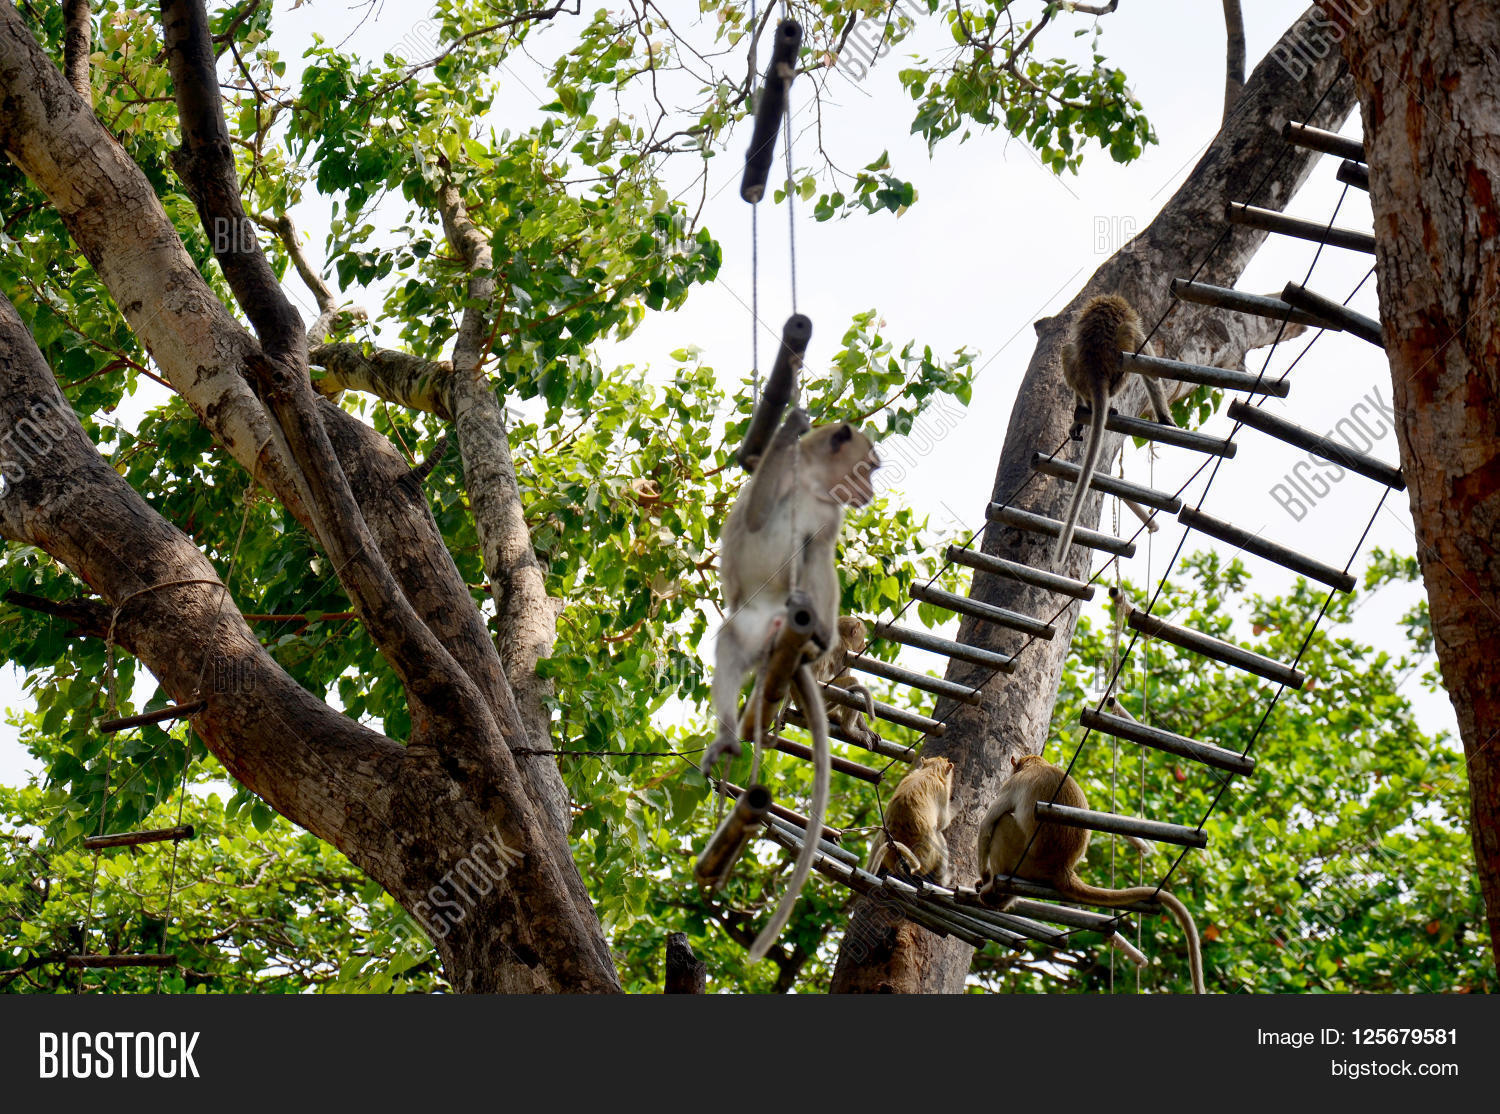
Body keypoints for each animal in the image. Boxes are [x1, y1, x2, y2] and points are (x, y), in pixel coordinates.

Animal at [702, 407, 879, 962]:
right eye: (870, 466)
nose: (870, 489)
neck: (813, 483)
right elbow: (758, 513)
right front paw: (789, 423)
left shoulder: (830, 516)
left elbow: (819, 553)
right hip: (754, 623)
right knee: (730, 642)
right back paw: (728, 736)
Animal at [866, 755, 955, 885]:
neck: (931, 771)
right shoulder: (942, 792)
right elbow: (943, 823)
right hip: (928, 859)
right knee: (939, 836)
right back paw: (943, 881)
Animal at [976, 754, 1205, 993]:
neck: (1038, 765)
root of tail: (1061, 867)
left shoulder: (1013, 784)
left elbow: (988, 824)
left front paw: (984, 876)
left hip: (1024, 859)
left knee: (1003, 822)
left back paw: (993, 890)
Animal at [1052, 295, 1175, 564]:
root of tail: (1095, 371)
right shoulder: (1139, 331)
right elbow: (1152, 376)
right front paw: (1165, 418)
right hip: (1120, 370)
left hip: (1078, 373)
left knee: (1067, 350)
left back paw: (1083, 409)